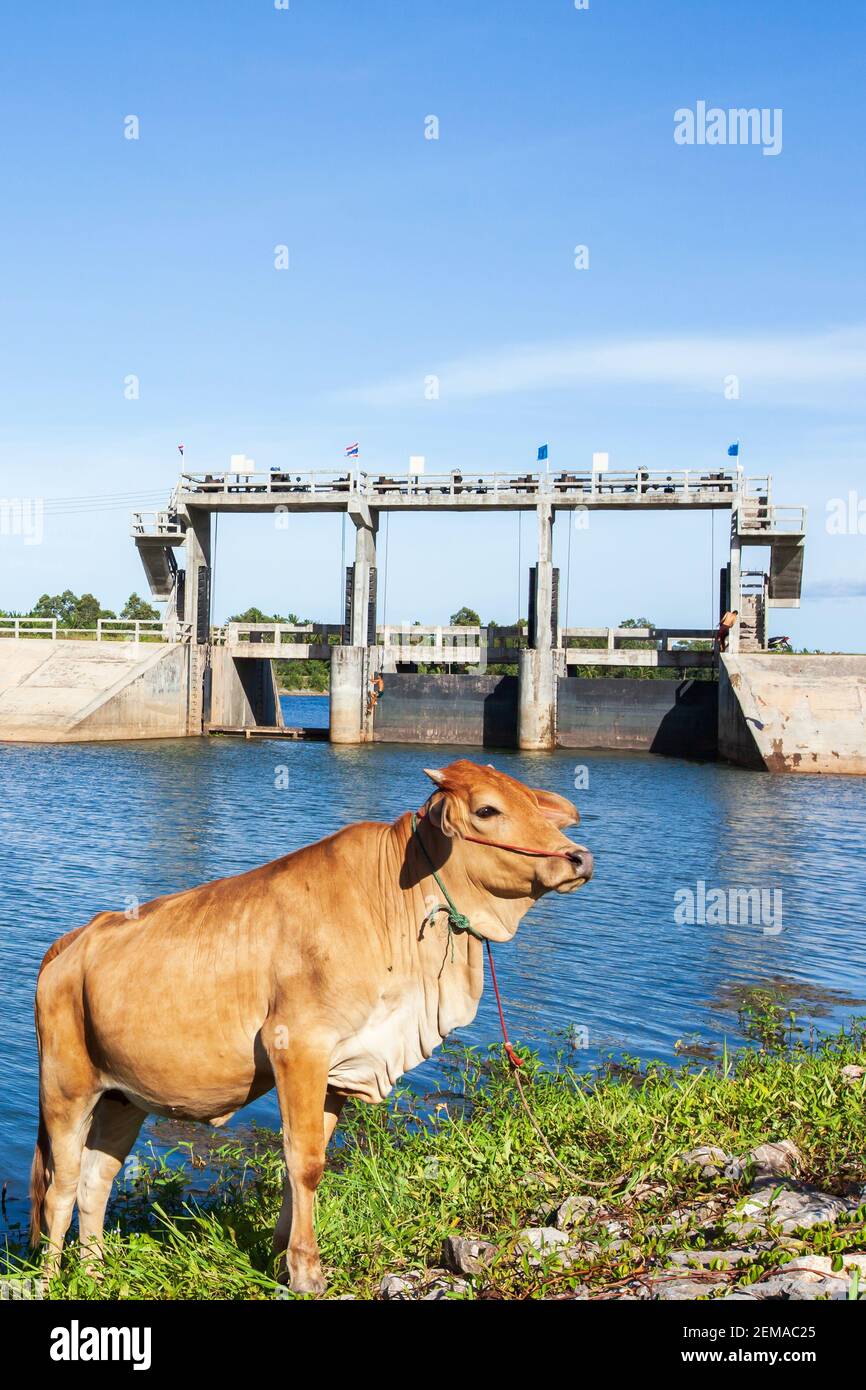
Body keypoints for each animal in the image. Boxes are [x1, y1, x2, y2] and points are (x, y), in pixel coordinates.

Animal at [30, 759, 592, 1294]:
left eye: (535, 804)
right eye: (487, 810)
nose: (579, 857)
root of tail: (74, 940)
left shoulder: (343, 1066)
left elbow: (308, 1162)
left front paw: (283, 1256)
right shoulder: (297, 1045)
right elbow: (302, 1161)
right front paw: (306, 1272)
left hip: (122, 1098)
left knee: (95, 1183)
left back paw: (95, 1272)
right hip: (65, 1088)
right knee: (60, 1187)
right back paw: (49, 1280)